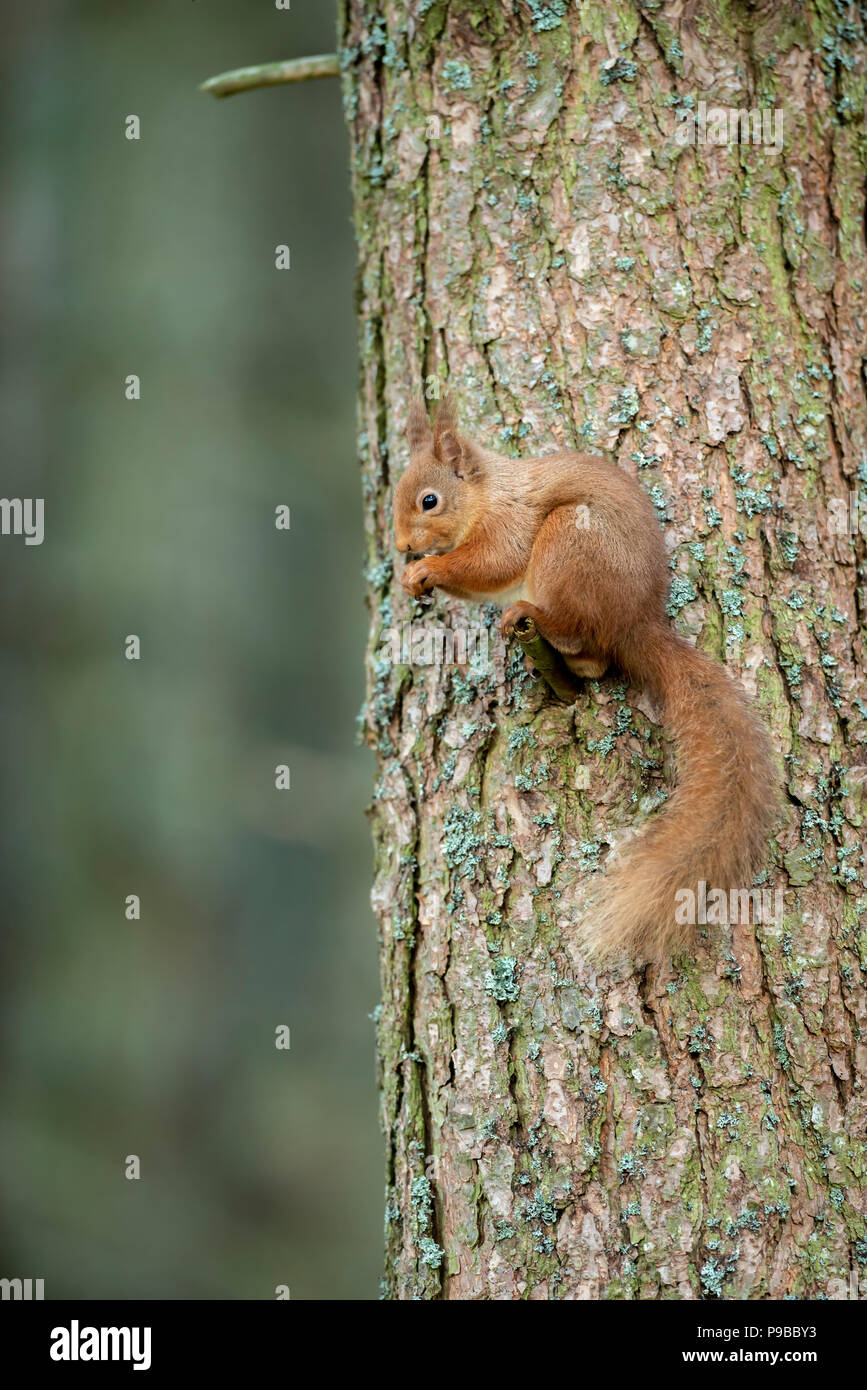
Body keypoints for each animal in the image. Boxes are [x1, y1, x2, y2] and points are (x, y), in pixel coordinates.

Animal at [393, 395, 779, 964]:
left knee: (576, 630)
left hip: (567, 543)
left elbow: (492, 562)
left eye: (429, 500)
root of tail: (635, 624)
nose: (401, 546)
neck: (486, 492)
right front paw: (412, 576)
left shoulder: (511, 524)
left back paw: (532, 617)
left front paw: (430, 569)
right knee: (593, 659)